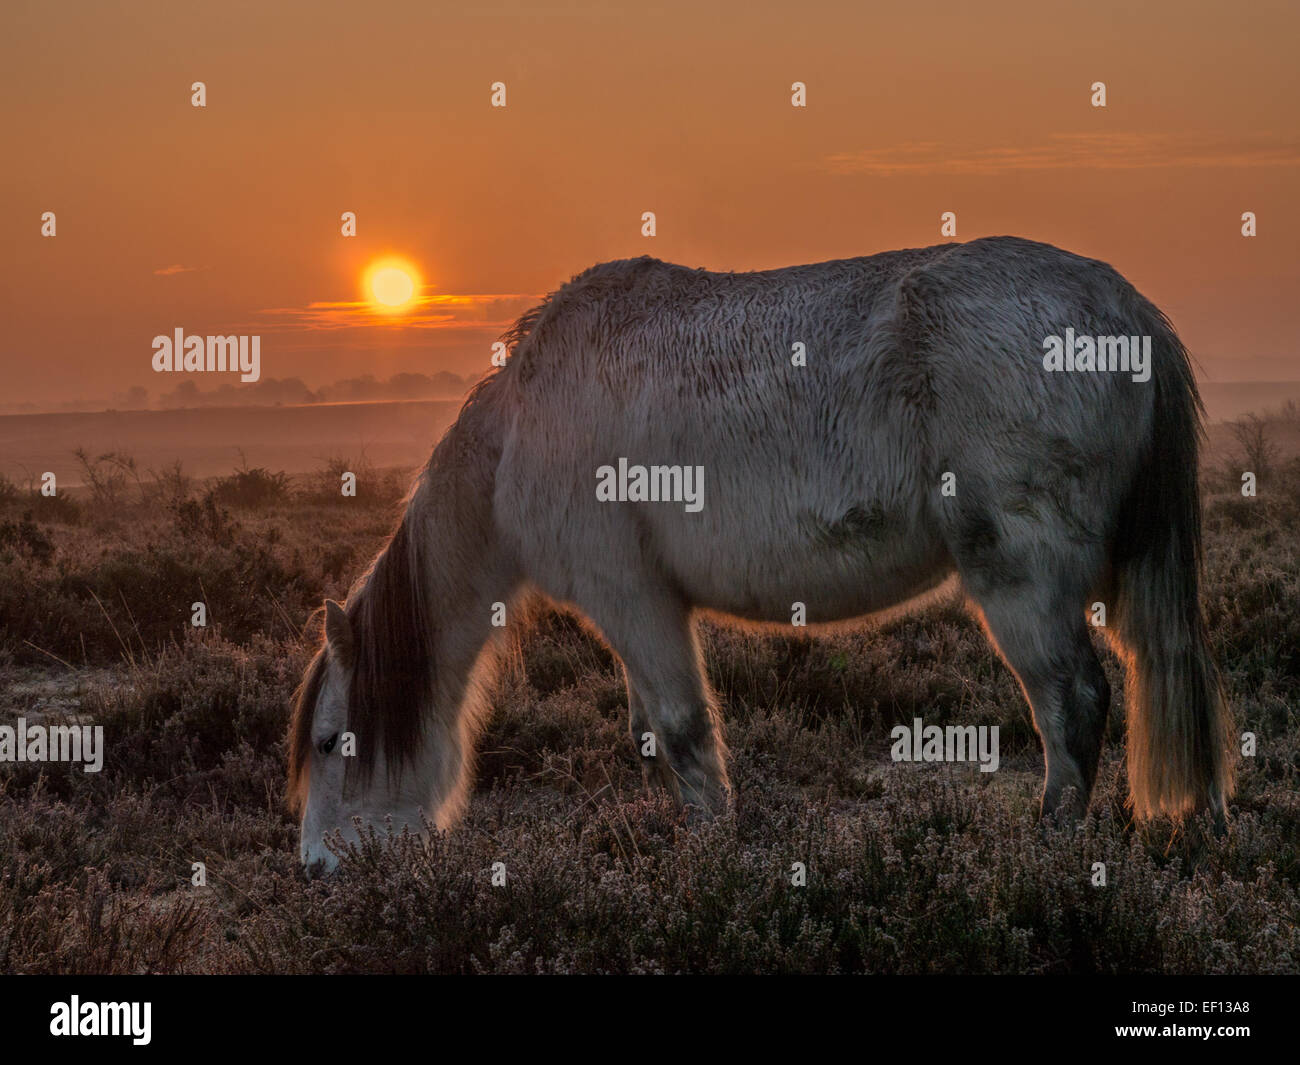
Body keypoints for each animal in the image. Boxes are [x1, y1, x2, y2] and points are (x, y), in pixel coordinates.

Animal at [290, 236, 1235, 871]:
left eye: (334, 740)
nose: (318, 870)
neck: (523, 425)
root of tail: (1126, 310)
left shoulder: (631, 598)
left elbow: (681, 730)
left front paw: (713, 860)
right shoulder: (645, 610)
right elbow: (653, 734)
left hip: (1022, 582)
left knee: (1074, 704)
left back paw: (1050, 852)